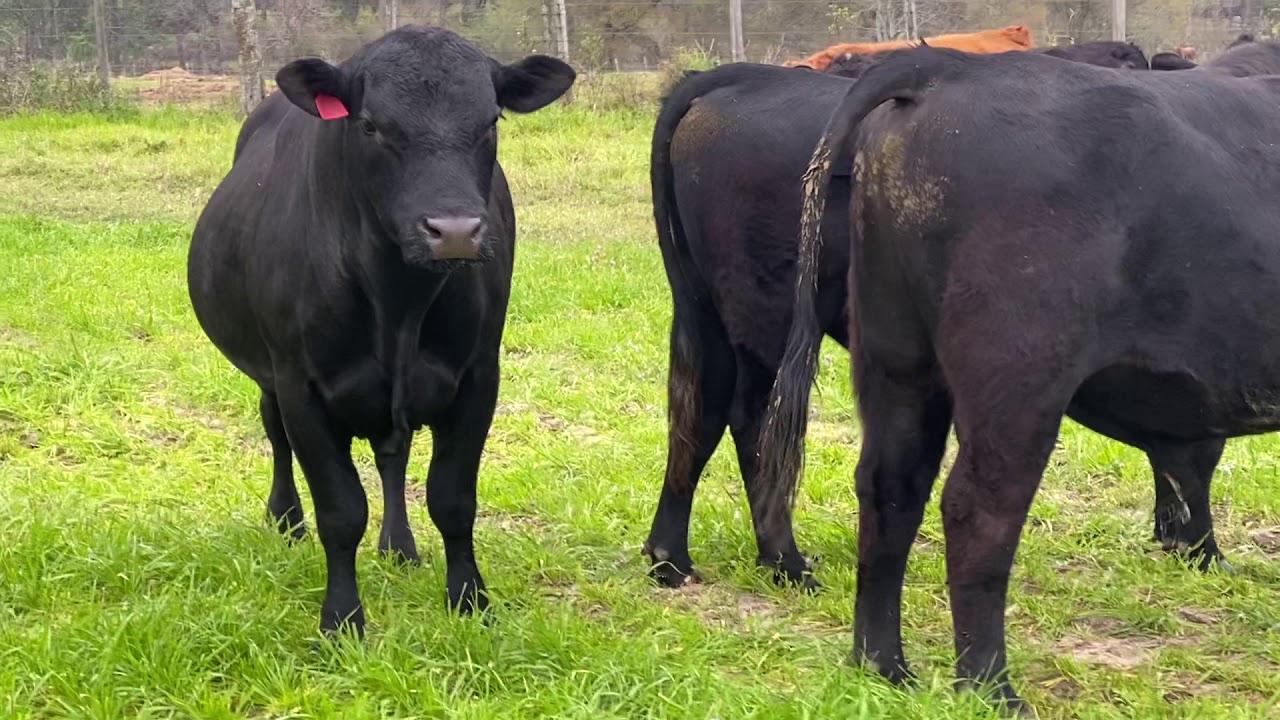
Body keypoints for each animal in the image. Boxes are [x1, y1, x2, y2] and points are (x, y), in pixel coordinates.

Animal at [187, 26, 575, 636]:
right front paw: (341, 620)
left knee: (394, 453)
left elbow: (453, 498)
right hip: (269, 374)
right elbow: (341, 511)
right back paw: (286, 519)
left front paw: (469, 600)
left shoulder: (477, 377)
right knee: (275, 434)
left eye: (491, 120)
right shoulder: (301, 386)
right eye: (370, 124)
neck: (400, 303)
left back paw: (399, 546)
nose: (455, 230)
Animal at [643, 46, 1215, 590]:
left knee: (699, 408)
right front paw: (1200, 548)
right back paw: (785, 561)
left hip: (705, 306)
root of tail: (739, 75)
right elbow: (1194, 450)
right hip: (770, 310)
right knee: (756, 418)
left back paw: (670, 559)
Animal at [758, 45, 1280, 711]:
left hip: (897, 360)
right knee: (977, 510)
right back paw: (990, 688)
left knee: (890, 489)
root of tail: (948, 67)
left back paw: (883, 665)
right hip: (1017, 375)